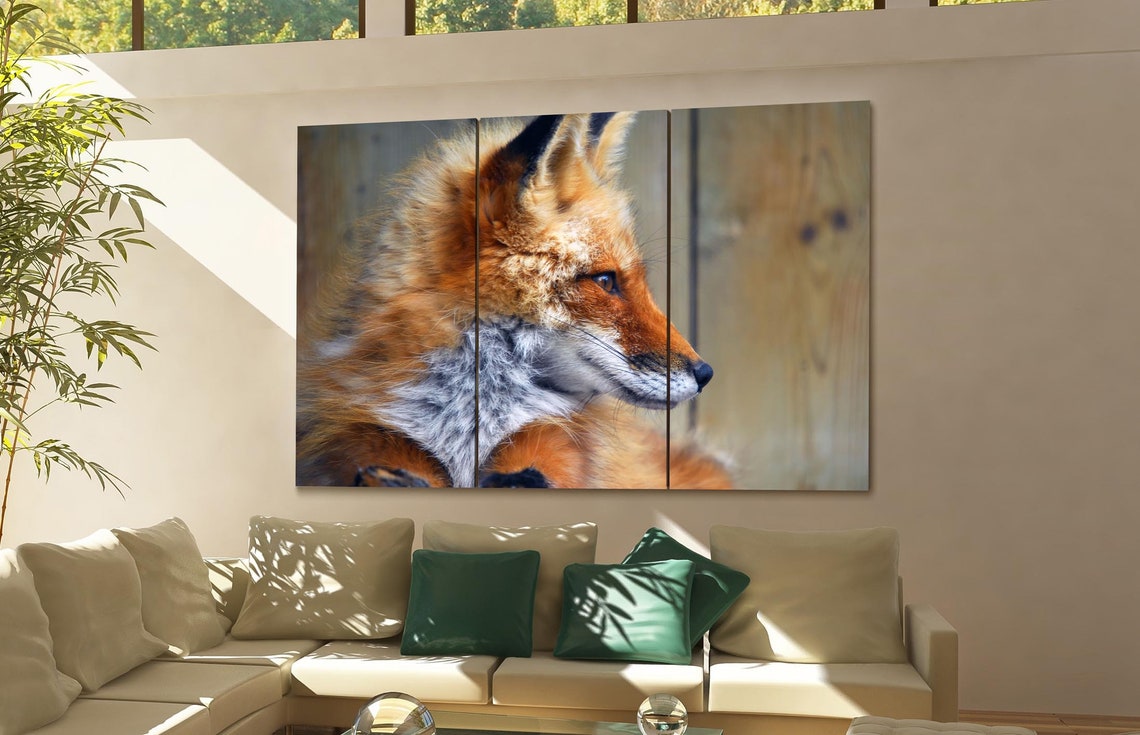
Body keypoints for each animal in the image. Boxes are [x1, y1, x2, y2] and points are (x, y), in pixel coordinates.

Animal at [296, 112, 732, 489]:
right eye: (606, 280)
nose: (706, 373)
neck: (470, 422)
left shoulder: (553, 438)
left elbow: (536, 471)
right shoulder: (369, 435)